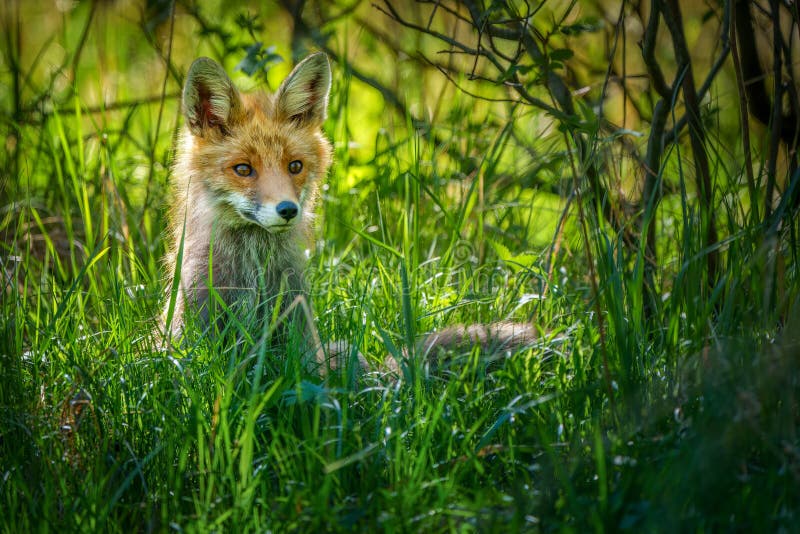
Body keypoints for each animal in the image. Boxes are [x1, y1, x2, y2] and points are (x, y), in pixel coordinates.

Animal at [165, 52, 536, 373]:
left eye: (295, 166)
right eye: (243, 169)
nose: (288, 210)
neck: (251, 280)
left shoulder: (299, 342)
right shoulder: (189, 337)